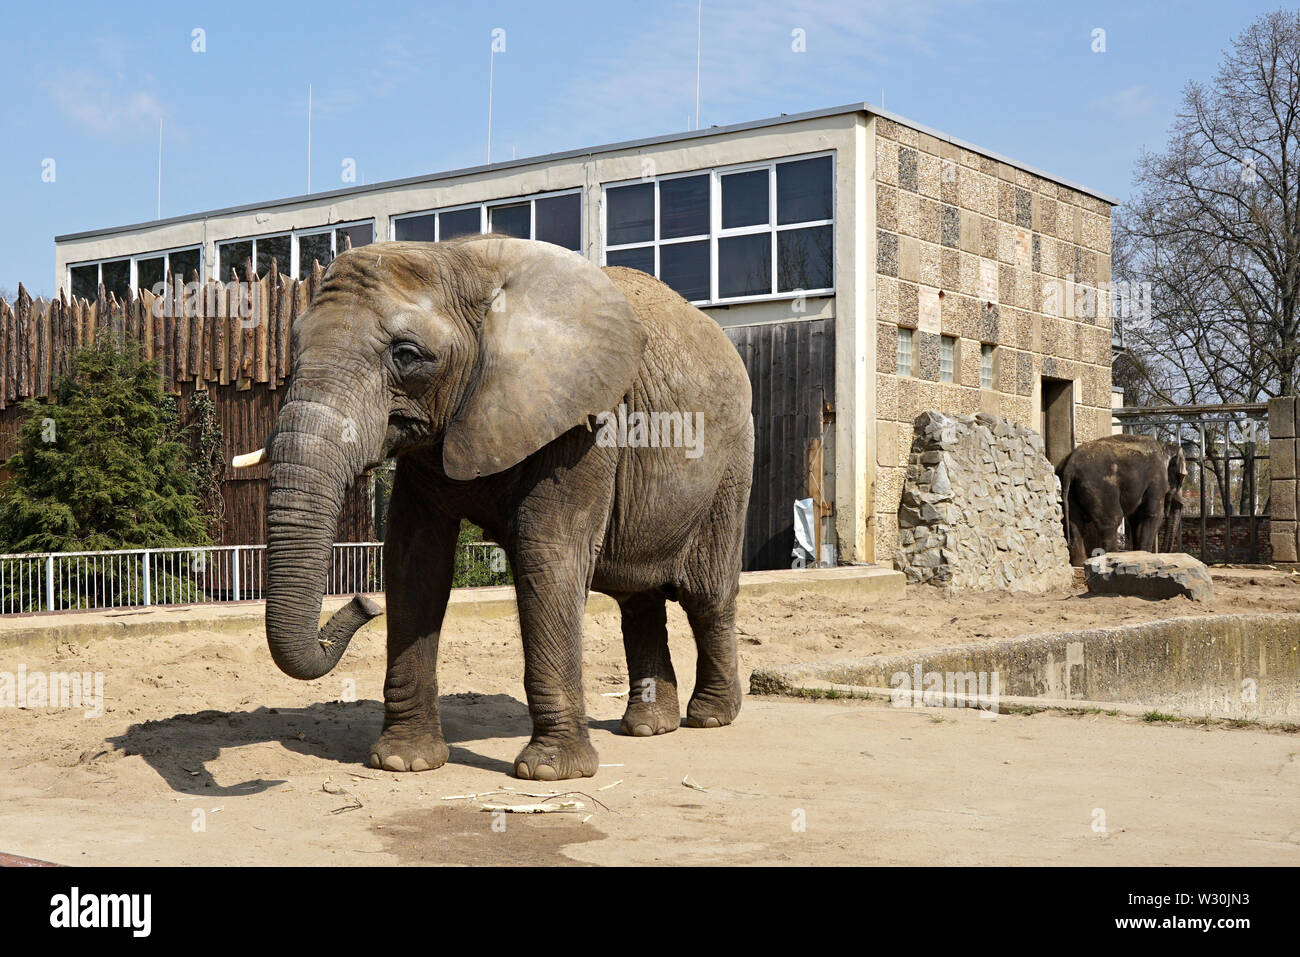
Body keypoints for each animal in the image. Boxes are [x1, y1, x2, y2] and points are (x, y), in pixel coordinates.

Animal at [238, 237, 754, 781]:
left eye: (407, 354)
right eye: (295, 349)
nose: (362, 605)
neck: (458, 258)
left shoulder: (586, 420)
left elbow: (547, 553)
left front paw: (549, 773)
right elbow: (414, 559)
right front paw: (403, 762)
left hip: (731, 463)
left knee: (707, 595)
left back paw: (711, 717)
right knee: (638, 597)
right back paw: (648, 728)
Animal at [1056, 433, 1187, 565]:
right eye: (1181, 477)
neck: (1165, 447)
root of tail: (1070, 464)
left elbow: (1135, 519)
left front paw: (1139, 554)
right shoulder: (1157, 480)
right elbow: (1152, 515)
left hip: (1069, 487)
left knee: (1074, 523)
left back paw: (1080, 564)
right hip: (1100, 486)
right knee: (1112, 519)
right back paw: (1112, 557)